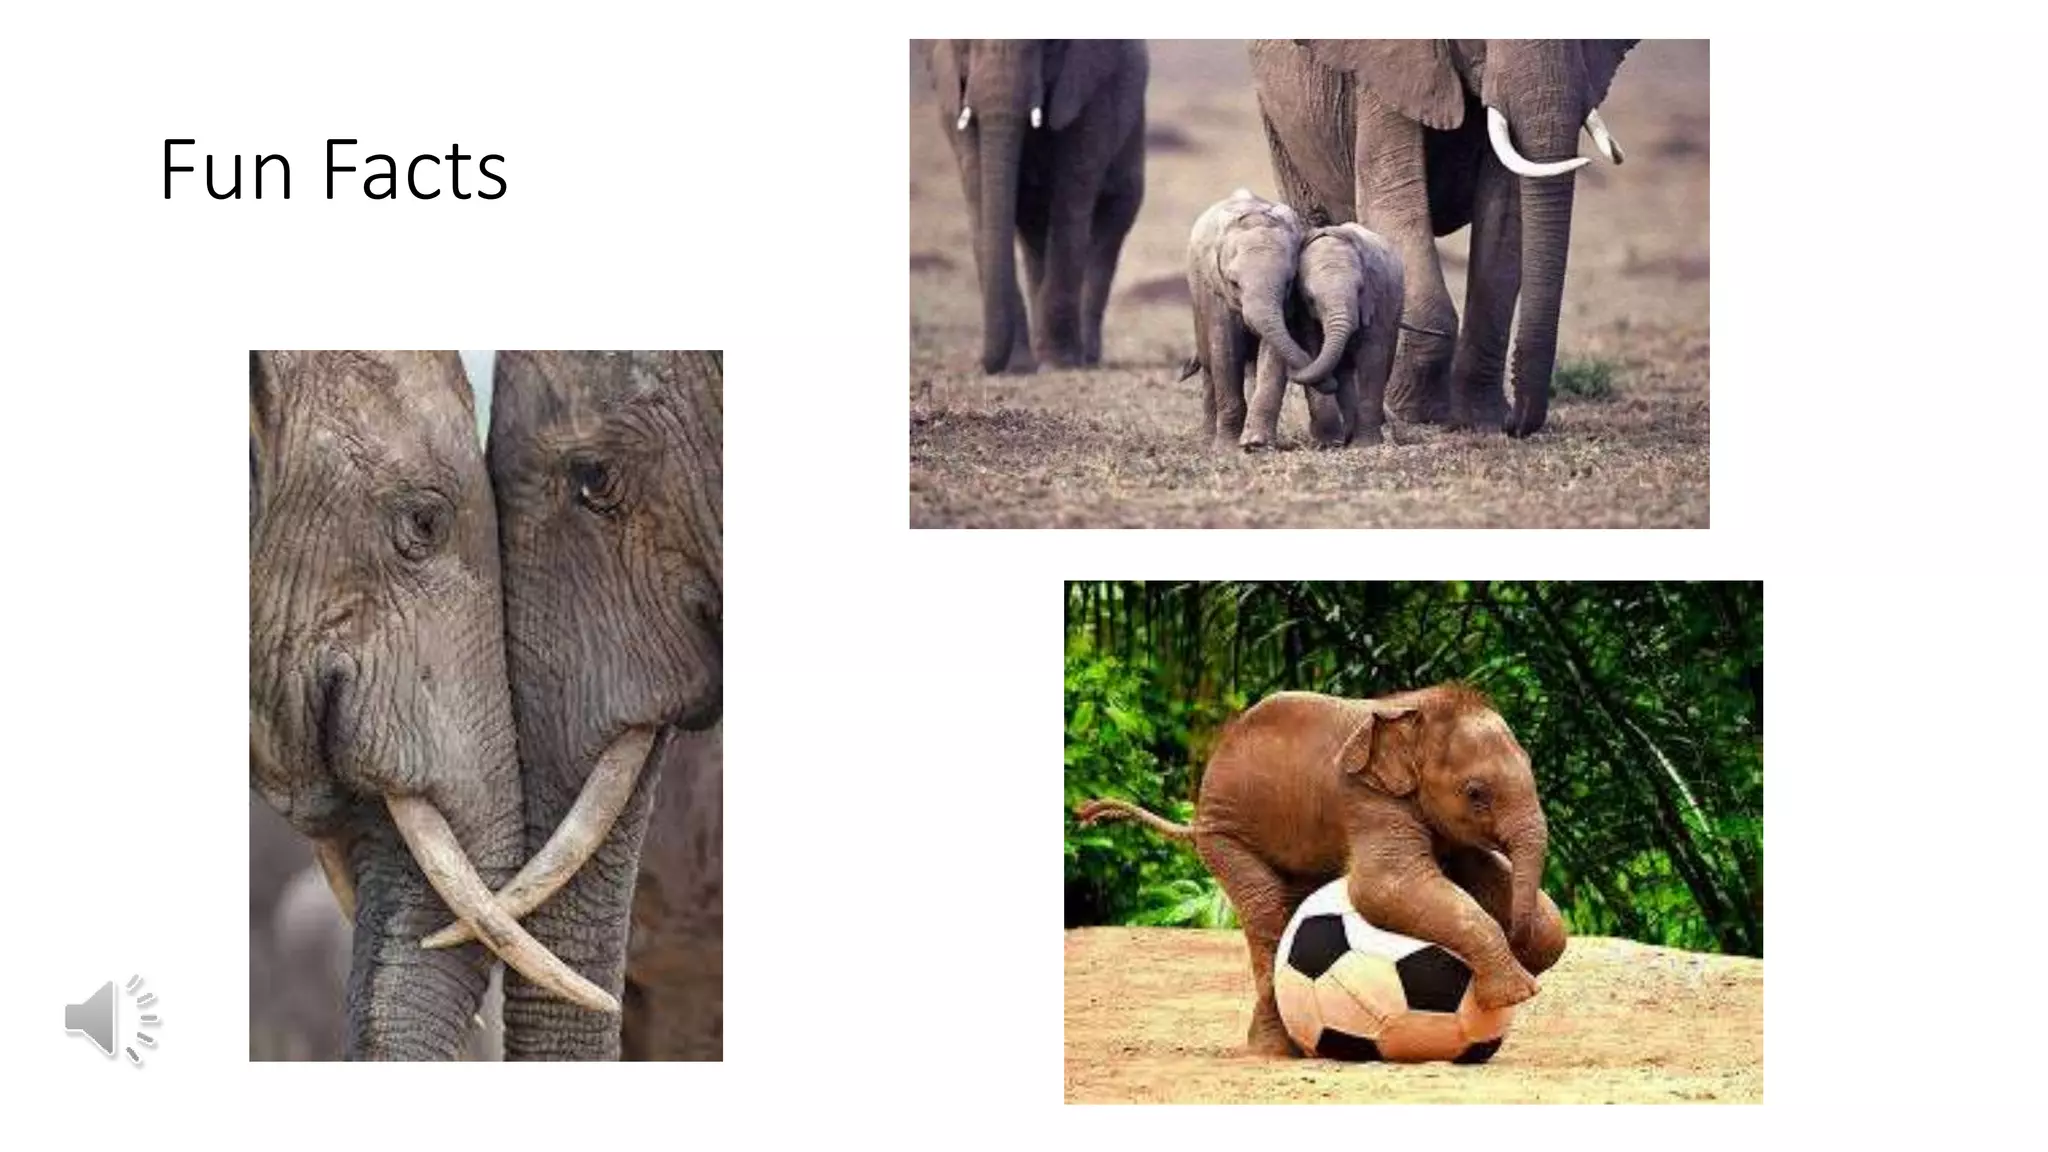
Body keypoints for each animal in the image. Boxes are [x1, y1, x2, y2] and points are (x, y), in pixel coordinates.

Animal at [922, 39, 1148, 373]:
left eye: (1050, 45)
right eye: (963, 46)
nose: (982, 364)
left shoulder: (1089, 92)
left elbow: (1070, 201)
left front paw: (1059, 364)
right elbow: (980, 197)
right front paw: (1017, 366)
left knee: (1112, 219)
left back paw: (1086, 356)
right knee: (1033, 231)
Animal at [1077, 685, 1566, 1057]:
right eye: (1475, 793)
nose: (1516, 940)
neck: (1418, 710)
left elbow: (1495, 883)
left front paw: (1528, 957)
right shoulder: (1365, 798)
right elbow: (1382, 887)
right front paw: (1519, 991)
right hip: (1227, 836)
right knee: (1269, 913)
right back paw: (1276, 1051)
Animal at [1182, 188, 1319, 450]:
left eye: (1289, 282)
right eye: (1234, 283)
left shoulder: (1286, 304)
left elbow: (1273, 354)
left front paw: (1256, 444)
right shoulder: (1216, 292)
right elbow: (1225, 351)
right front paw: (1226, 449)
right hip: (1196, 296)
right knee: (1208, 365)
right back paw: (1207, 440)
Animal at [1243, 222, 1405, 450]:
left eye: (1360, 290)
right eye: (1311, 298)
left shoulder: (1378, 299)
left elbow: (1372, 358)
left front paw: (1365, 445)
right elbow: (1316, 348)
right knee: (1343, 370)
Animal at [1250, 39, 1637, 436]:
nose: (1518, 423)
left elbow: (1506, 217)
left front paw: (1482, 418)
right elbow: (1395, 200)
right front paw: (1418, 412)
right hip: (1279, 124)